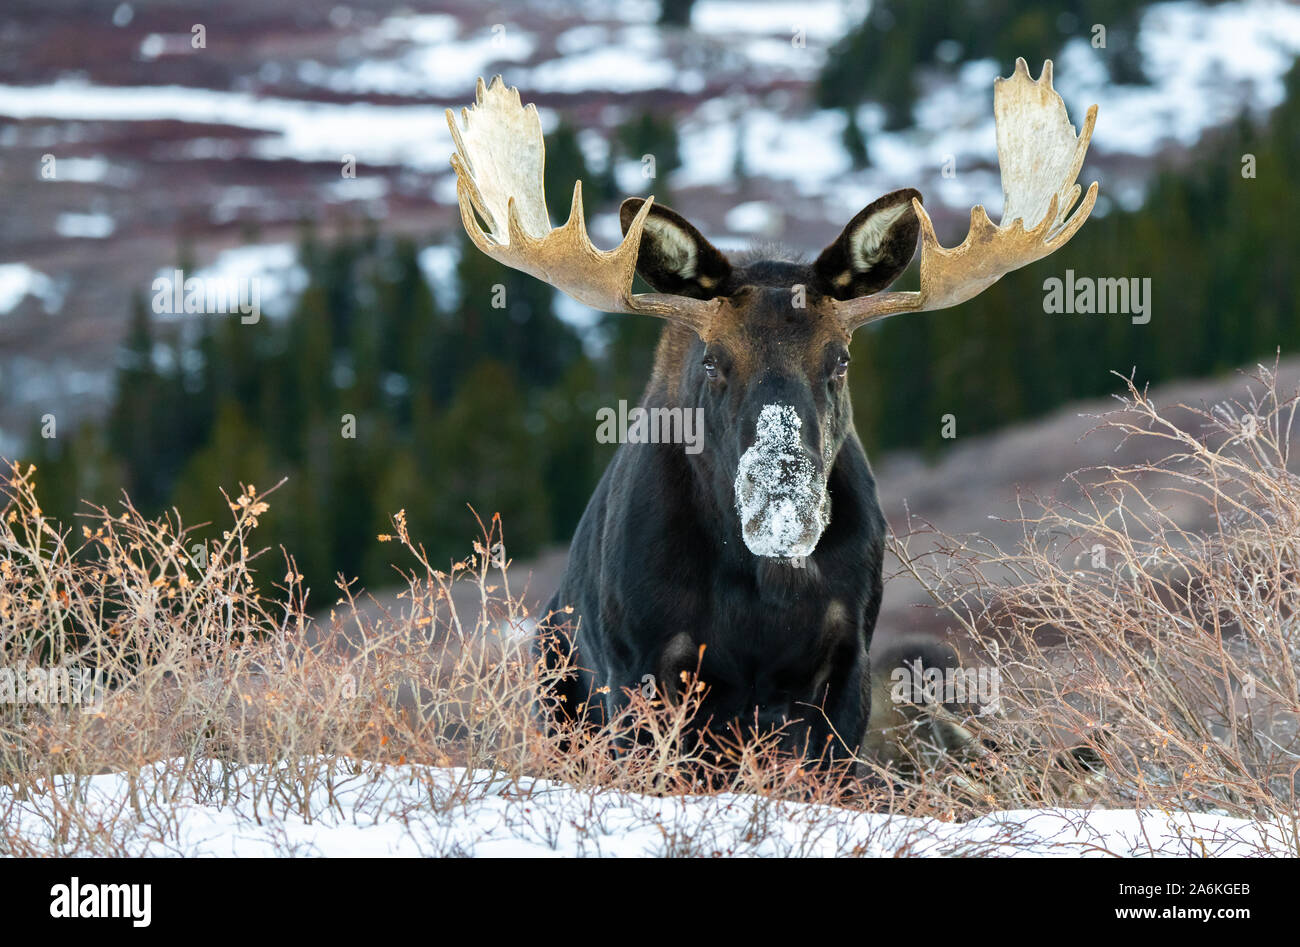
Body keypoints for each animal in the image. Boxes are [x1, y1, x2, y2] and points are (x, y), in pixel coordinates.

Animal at [446, 59, 1098, 772]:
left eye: (840, 358)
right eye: (712, 361)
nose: (783, 506)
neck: (757, 589)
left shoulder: (846, 663)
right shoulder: (639, 672)